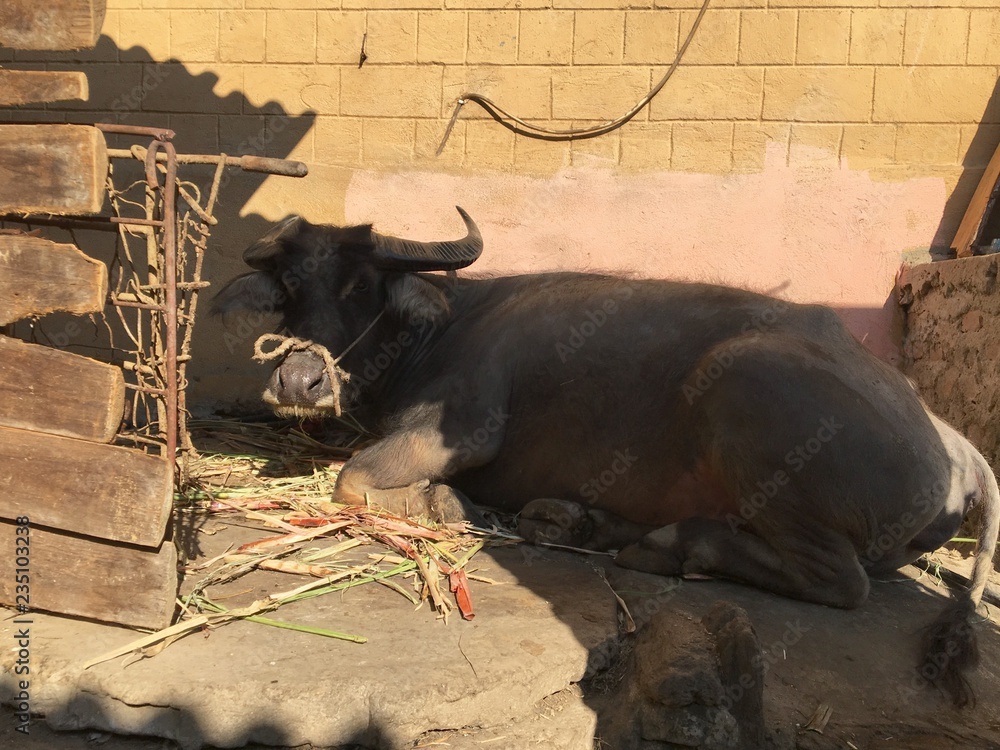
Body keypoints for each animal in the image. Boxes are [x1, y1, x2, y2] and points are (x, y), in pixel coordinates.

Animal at [214, 207, 998, 705]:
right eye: (290, 287)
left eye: (360, 286)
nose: (298, 380)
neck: (437, 330)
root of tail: (955, 446)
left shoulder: (459, 426)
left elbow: (353, 479)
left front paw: (447, 503)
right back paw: (572, 521)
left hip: (748, 382)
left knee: (841, 581)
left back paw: (668, 544)